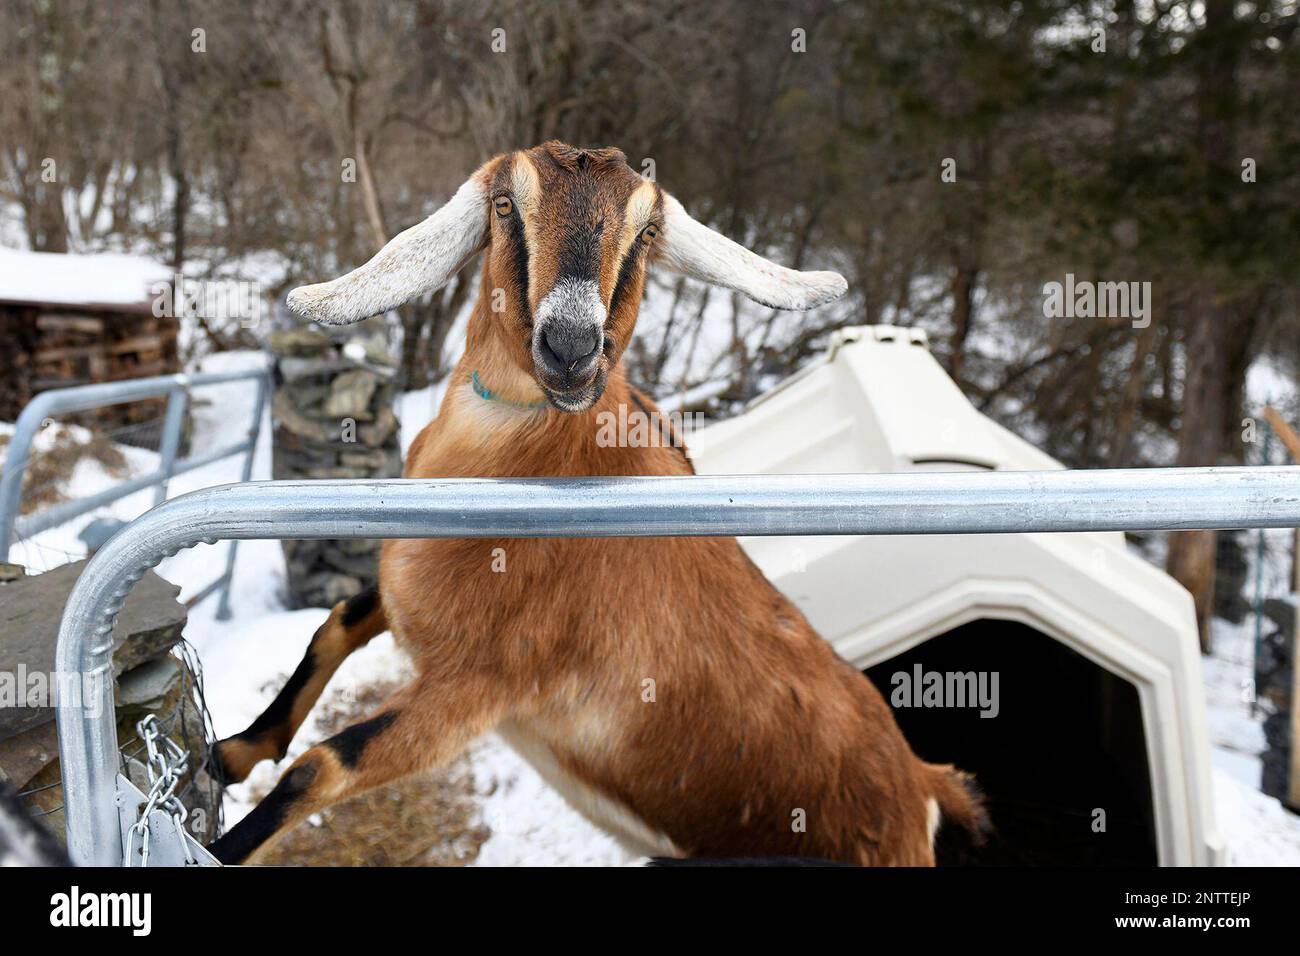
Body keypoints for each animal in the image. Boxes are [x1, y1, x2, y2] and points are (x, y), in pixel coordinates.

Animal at [208, 141, 987, 866]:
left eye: (646, 230)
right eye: (505, 205)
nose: (571, 346)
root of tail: (922, 787)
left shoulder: (473, 689)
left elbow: (320, 768)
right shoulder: (406, 603)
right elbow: (336, 623)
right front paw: (230, 754)